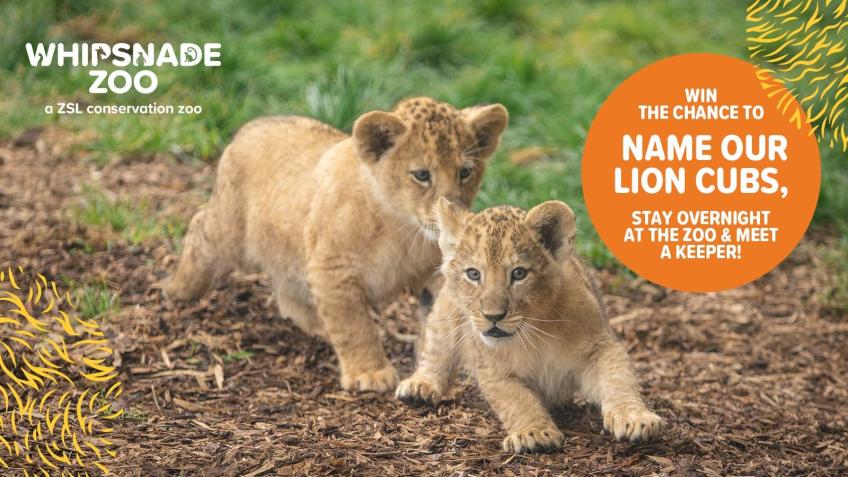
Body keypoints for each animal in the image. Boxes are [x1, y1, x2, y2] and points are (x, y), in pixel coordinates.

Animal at [164, 98, 509, 392]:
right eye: (422, 175)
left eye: (465, 172)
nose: (454, 209)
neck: (401, 228)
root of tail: (251, 126)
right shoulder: (334, 269)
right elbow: (354, 327)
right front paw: (370, 373)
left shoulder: (439, 276)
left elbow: (439, 322)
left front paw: (427, 377)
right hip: (231, 233)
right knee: (198, 228)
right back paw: (178, 290)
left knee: (289, 292)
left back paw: (317, 325)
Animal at [396, 198, 664, 453]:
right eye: (473, 274)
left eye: (518, 273)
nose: (493, 316)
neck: (535, 332)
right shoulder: (493, 370)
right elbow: (517, 399)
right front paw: (533, 433)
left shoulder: (599, 346)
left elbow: (618, 378)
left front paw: (634, 418)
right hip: (446, 314)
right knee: (436, 349)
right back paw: (419, 387)